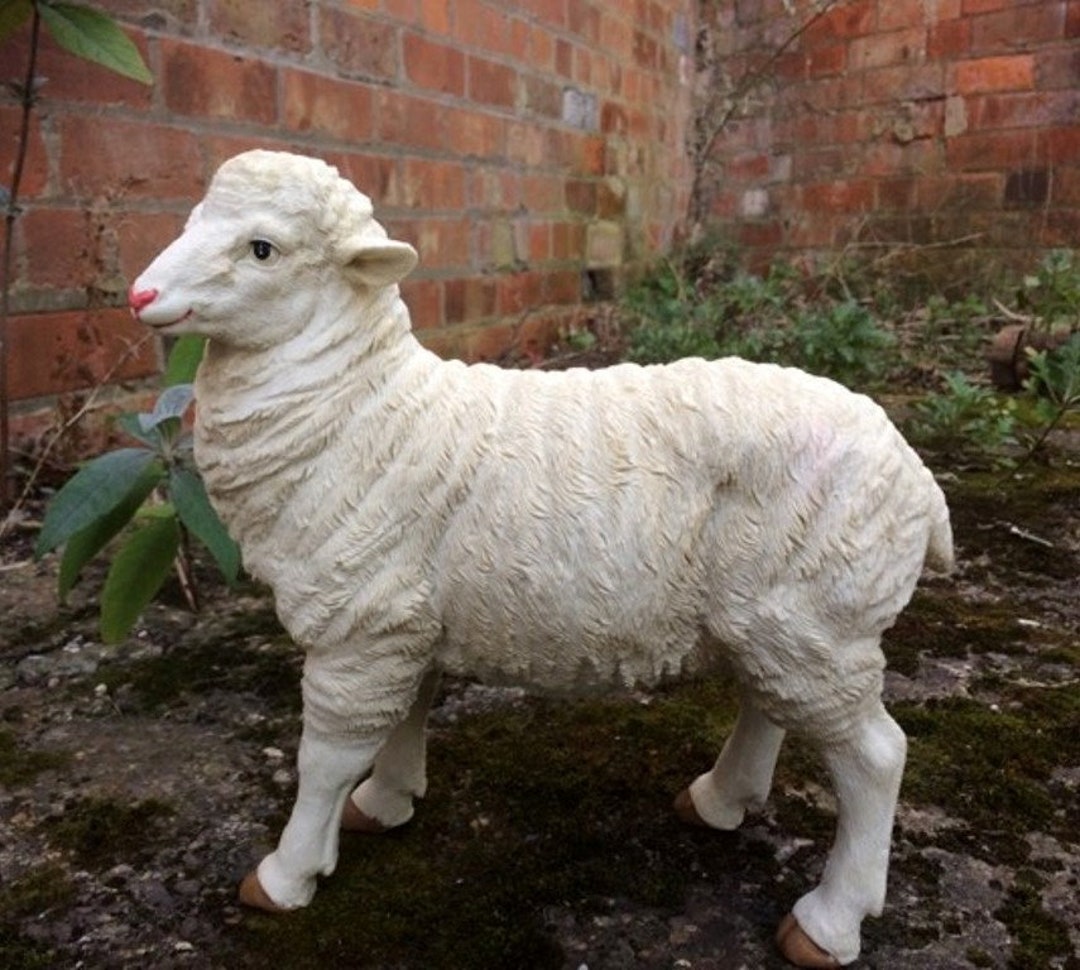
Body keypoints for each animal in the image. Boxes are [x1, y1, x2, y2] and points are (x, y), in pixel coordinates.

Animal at [129, 149, 953, 968]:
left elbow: (326, 757)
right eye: (192, 219)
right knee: (770, 705)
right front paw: (385, 801)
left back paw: (830, 921)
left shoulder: (360, 624)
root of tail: (917, 475)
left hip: (819, 614)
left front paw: (286, 873)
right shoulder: (402, 623)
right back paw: (720, 799)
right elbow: (407, 716)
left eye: (263, 249)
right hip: (778, 612)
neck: (363, 408)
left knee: (877, 757)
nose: (141, 294)